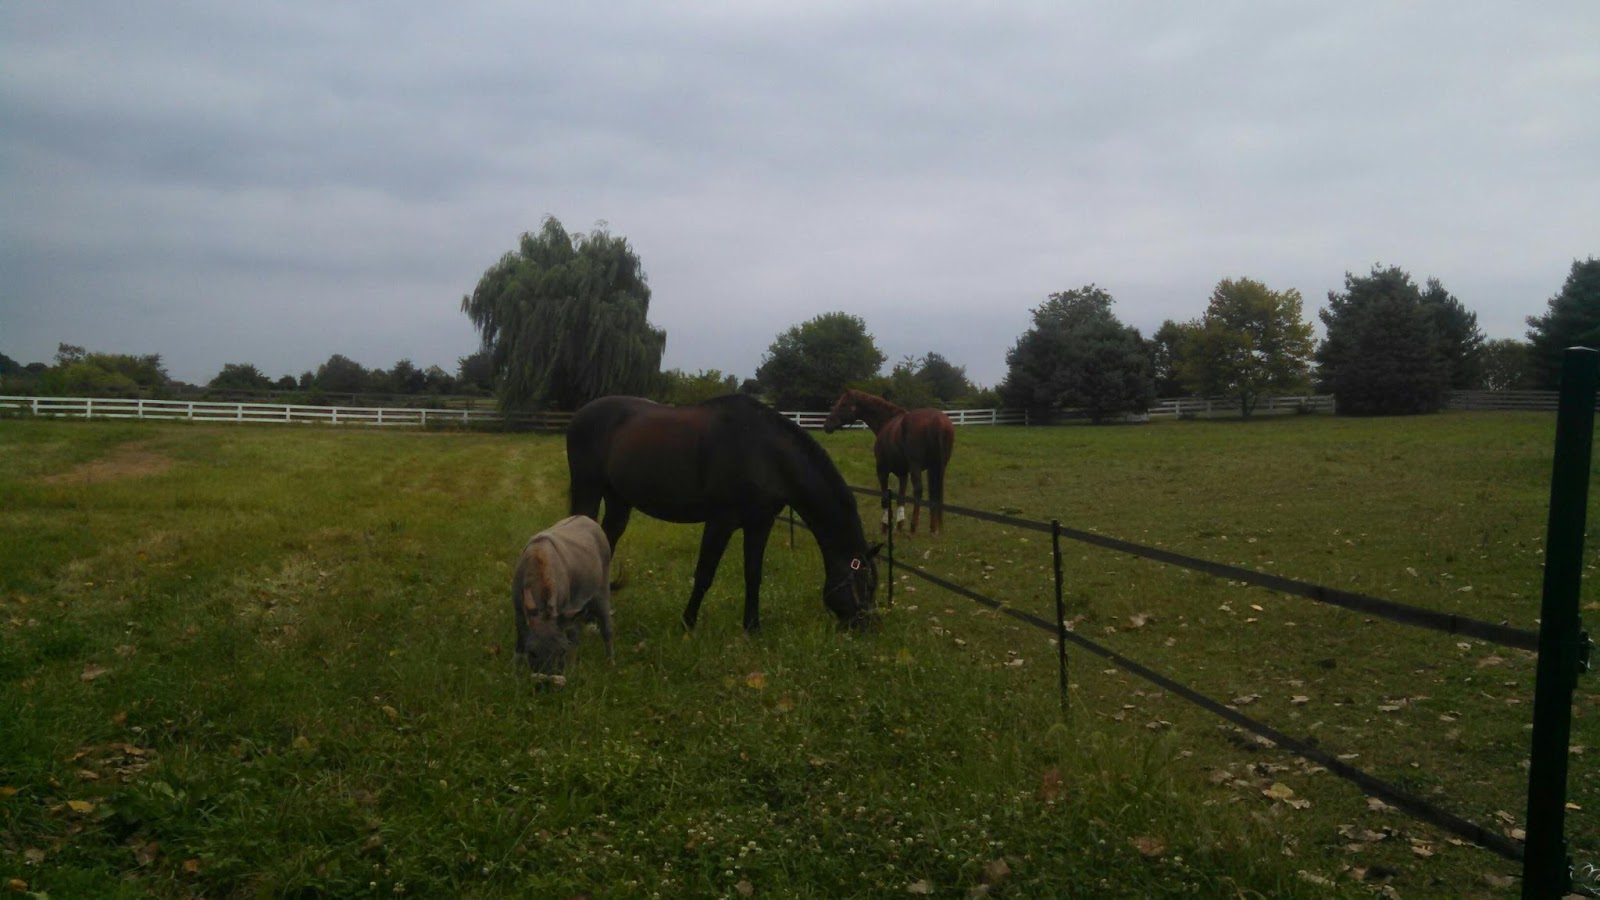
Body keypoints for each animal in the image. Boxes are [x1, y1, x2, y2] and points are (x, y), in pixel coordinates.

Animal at [566, 394, 880, 633]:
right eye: (865, 586)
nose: (866, 627)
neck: (766, 453)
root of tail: (580, 415)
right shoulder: (720, 521)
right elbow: (705, 573)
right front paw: (687, 623)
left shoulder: (759, 523)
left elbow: (754, 574)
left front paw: (752, 627)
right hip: (587, 490)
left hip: (618, 501)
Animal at [822, 389, 955, 535]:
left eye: (844, 404)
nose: (827, 425)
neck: (886, 421)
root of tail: (938, 421)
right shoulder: (903, 474)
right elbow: (901, 498)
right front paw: (899, 524)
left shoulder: (882, 471)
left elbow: (885, 498)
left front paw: (885, 526)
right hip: (937, 467)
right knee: (934, 493)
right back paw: (933, 528)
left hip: (916, 466)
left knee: (918, 490)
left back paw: (914, 526)